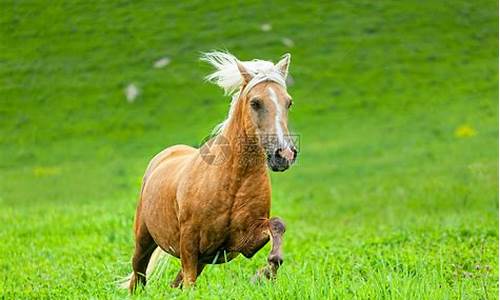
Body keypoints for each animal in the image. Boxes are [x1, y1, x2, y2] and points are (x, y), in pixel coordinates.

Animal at [121, 51, 298, 292]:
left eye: (288, 102)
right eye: (255, 102)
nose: (284, 154)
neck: (232, 181)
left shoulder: (241, 243)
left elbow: (277, 227)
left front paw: (265, 273)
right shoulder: (189, 242)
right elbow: (189, 282)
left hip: (202, 260)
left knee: (173, 283)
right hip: (144, 239)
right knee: (138, 276)